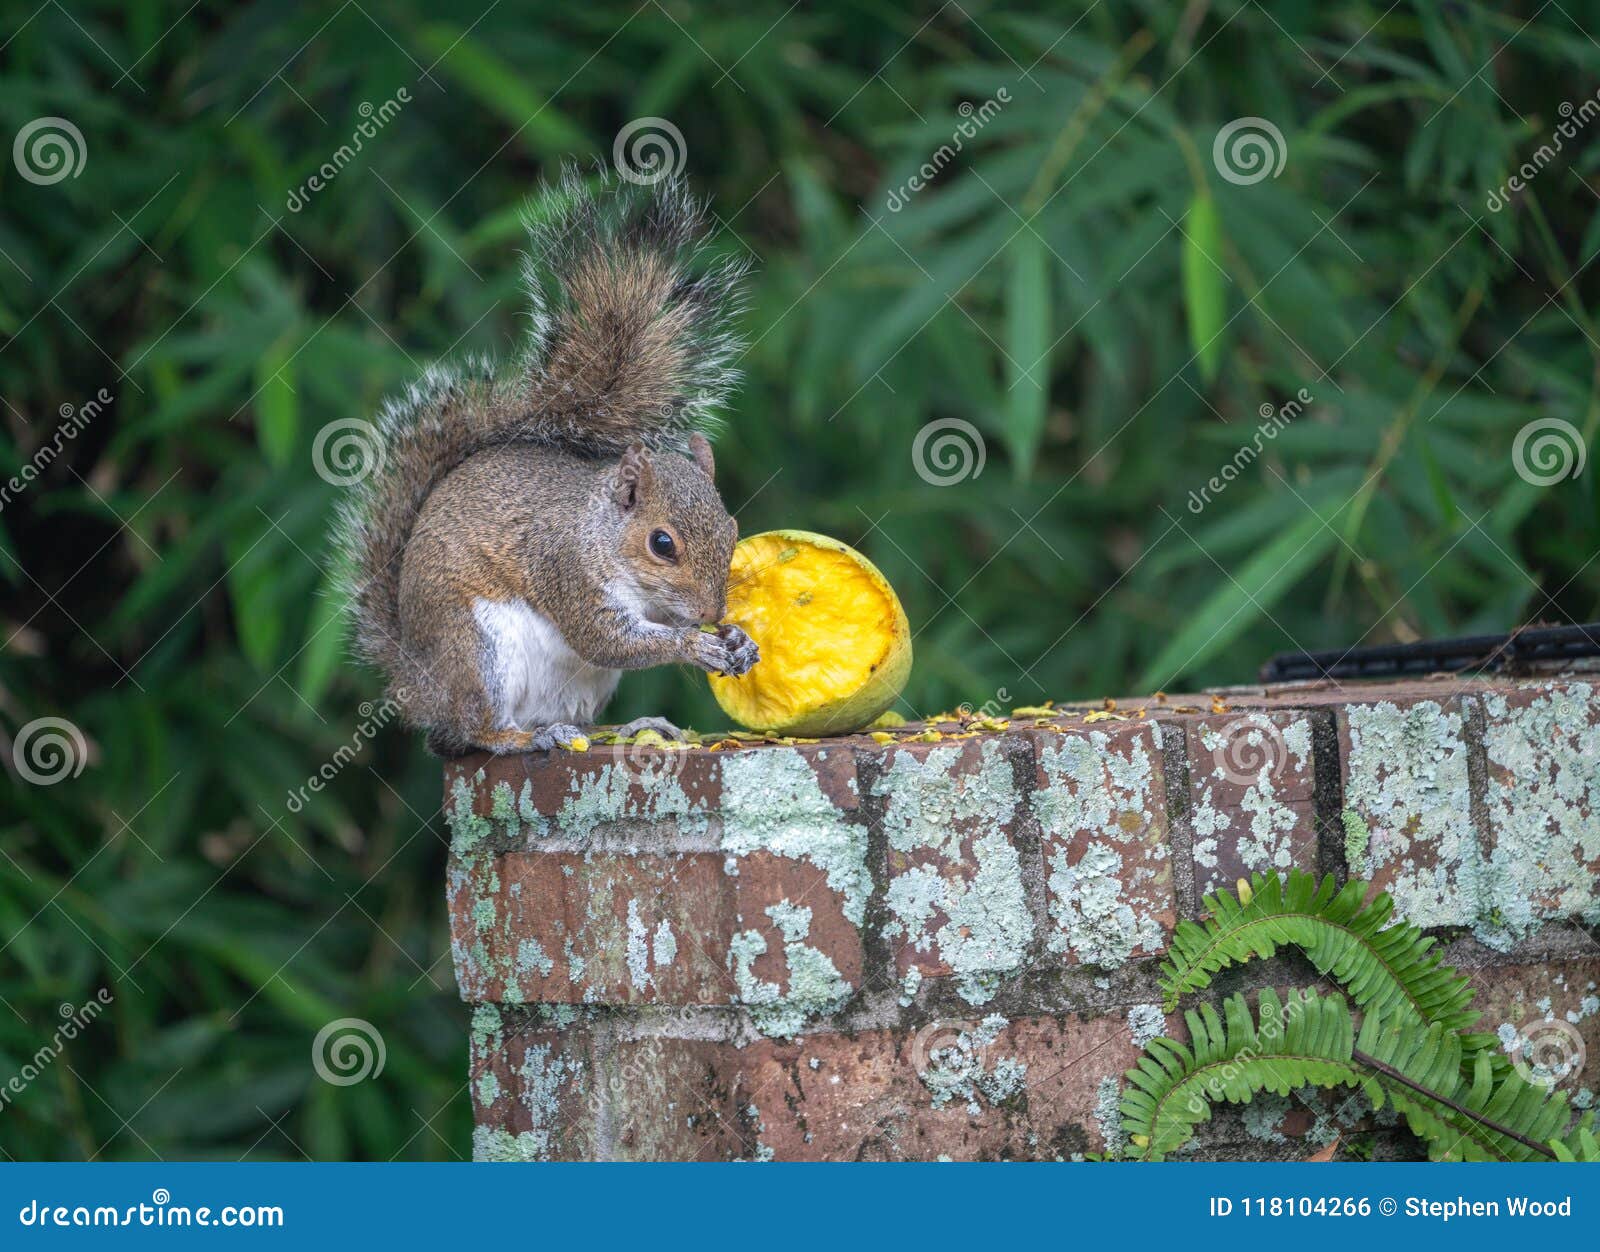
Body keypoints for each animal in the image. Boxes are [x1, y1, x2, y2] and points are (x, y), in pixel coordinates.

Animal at [334, 171, 759, 756]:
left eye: (732, 529)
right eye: (662, 544)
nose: (713, 615)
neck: (602, 533)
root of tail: (417, 687)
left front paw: (737, 640)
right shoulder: (566, 570)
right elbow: (607, 639)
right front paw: (696, 645)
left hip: (578, 687)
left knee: (571, 720)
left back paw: (624, 726)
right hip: (478, 650)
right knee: (479, 730)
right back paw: (524, 737)